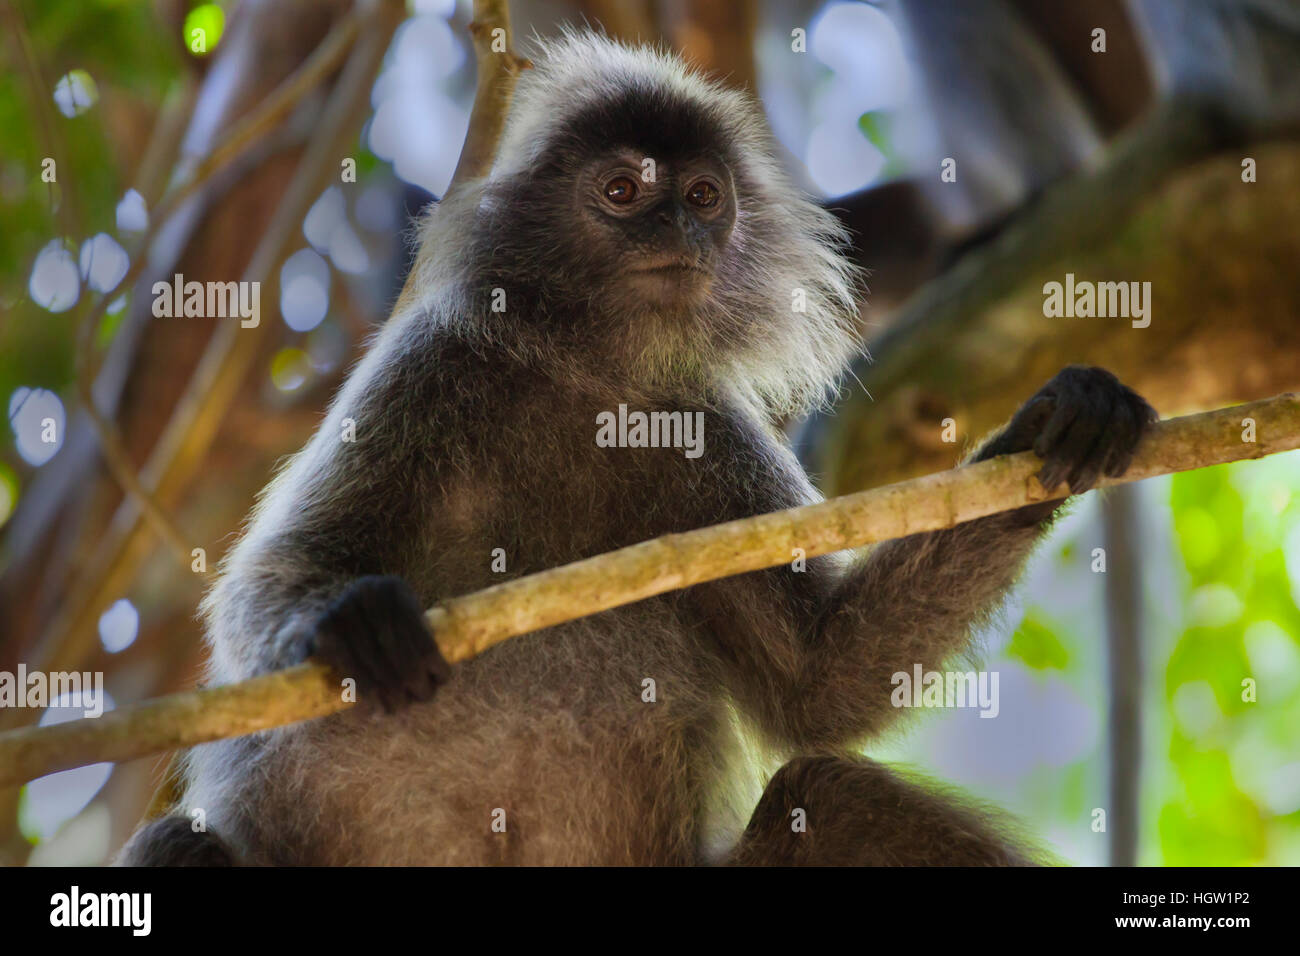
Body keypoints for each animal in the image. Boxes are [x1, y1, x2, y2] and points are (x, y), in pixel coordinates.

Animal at [118, 31, 1155, 866]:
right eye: (624, 192)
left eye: (702, 195)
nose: (680, 228)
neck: (588, 381)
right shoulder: (433, 368)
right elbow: (268, 584)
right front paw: (349, 622)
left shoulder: (701, 428)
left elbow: (827, 681)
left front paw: (1055, 425)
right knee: (178, 847)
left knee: (830, 796)